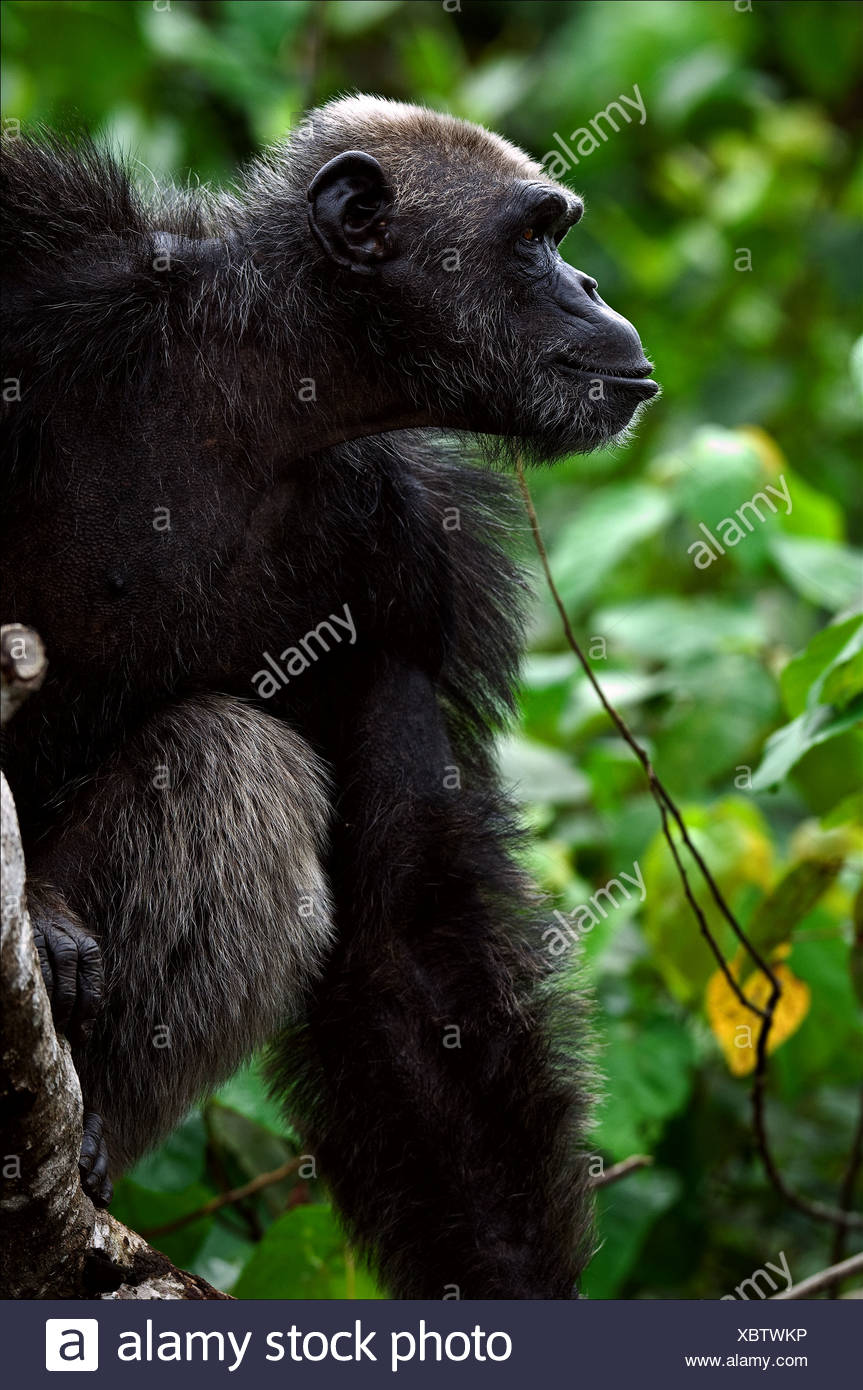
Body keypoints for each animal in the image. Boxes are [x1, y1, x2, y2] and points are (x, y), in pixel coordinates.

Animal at [1, 95, 657, 1299]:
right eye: (537, 235)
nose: (589, 285)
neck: (254, 384)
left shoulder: (404, 571)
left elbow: (407, 950)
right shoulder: (34, 264)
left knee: (232, 762)